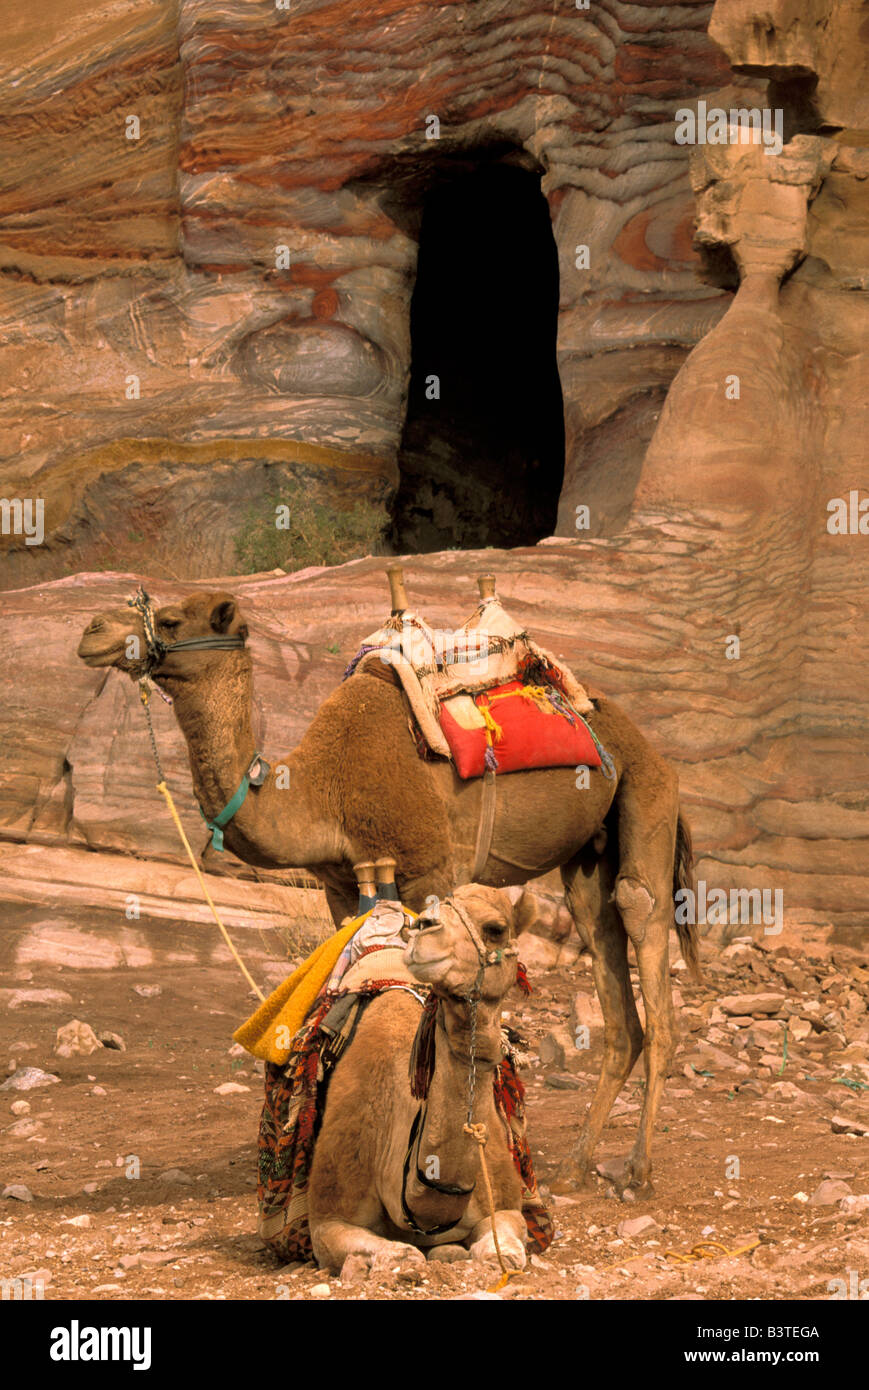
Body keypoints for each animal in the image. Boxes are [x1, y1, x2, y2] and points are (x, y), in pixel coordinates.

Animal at [77, 586, 700, 1195]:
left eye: (171, 619)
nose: (92, 631)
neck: (321, 788)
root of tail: (646, 745)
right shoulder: (339, 888)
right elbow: (357, 984)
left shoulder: (434, 869)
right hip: (588, 854)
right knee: (610, 970)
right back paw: (574, 1166)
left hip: (646, 795)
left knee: (640, 913)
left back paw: (639, 1170)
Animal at [308, 884, 527, 1275]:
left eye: (496, 928)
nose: (425, 929)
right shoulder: (327, 1218)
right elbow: (403, 1254)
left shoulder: (505, 1206)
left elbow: (504, 1251)